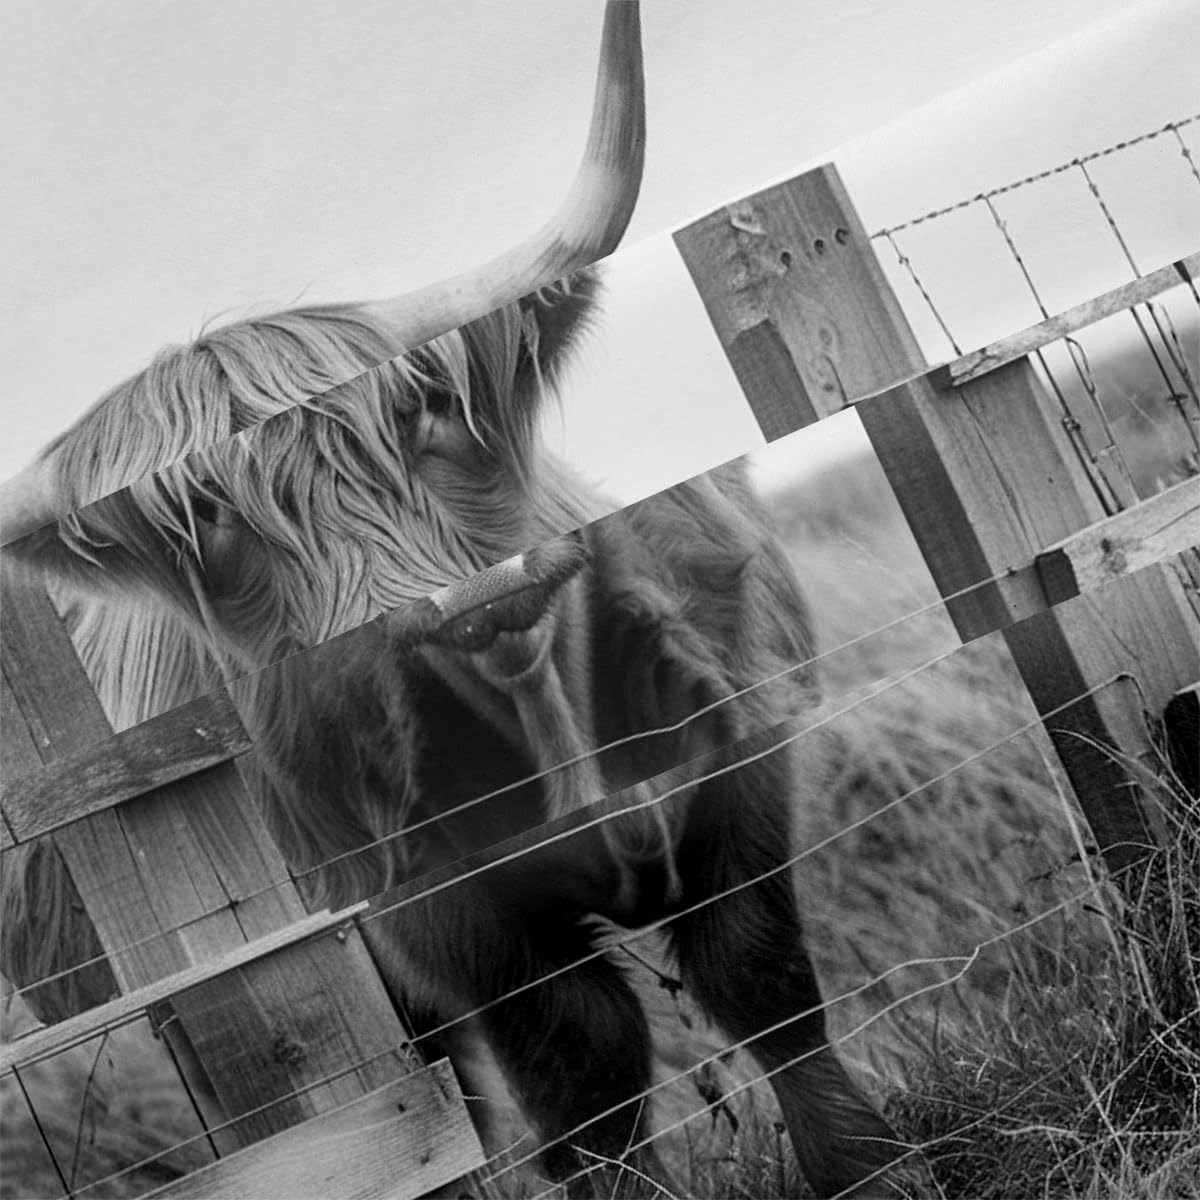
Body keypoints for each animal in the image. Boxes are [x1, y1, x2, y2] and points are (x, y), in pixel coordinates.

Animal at [0, 5, 918, 1196]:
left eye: (424, 408)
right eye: (207, 516)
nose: (462, 602)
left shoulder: (747, 744)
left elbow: (761, 977)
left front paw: (873, 1165)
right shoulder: (437, 912)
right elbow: (584, 1073)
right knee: (404, 1110)